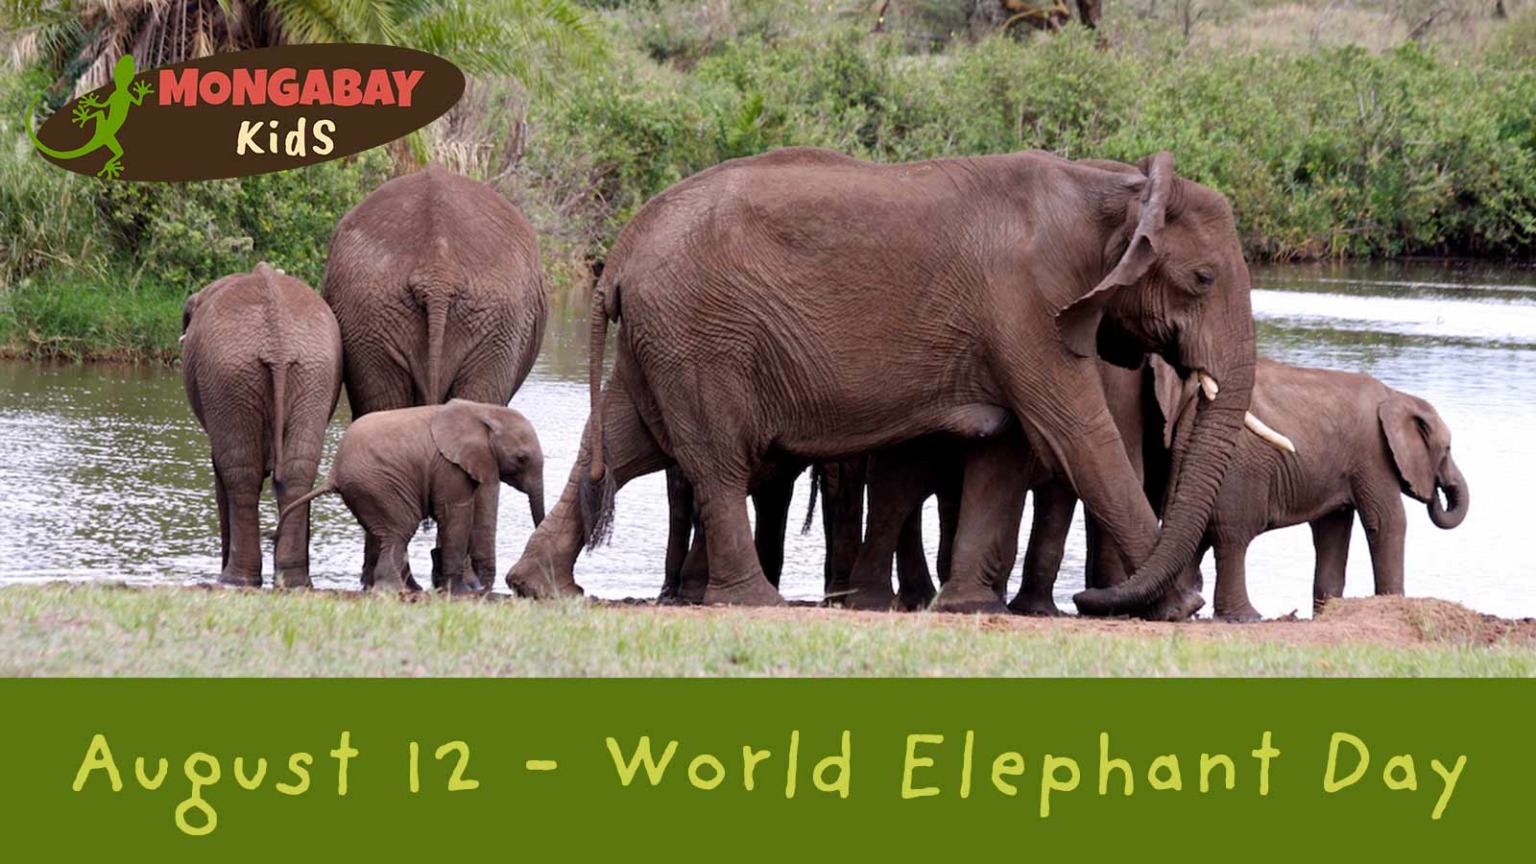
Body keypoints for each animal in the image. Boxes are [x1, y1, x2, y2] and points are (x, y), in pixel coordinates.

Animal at [180, 262, 342, 588]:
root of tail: (277, 340)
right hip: (313, 373)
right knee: (298, 472)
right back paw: (293, 581)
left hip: (227, 376)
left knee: (240, 473)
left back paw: (233, 580)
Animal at [275, 400, 545, 593]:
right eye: (521, 458)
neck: (483, 411)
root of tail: (334, 473)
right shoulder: (450, 466)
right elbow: (455, 513)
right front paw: (460, 591)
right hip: (381, 484)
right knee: (399, 531)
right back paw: (395, 590)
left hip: (367, 490)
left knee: (386, 534)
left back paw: (409, 588)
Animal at [506, 147, 1262, 619]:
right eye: (1203, 279)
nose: (1084, 600)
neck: (1112, 188)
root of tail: (620, 251)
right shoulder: (1027, 306)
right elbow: (1076, 433)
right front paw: (1181, 607)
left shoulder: (1010, 323)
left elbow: (1006, 450)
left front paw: (969, 608)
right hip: (699, 334)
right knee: (713, 460)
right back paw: (754, 602)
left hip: (662, 335)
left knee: (627, 441)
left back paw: (542, 586)